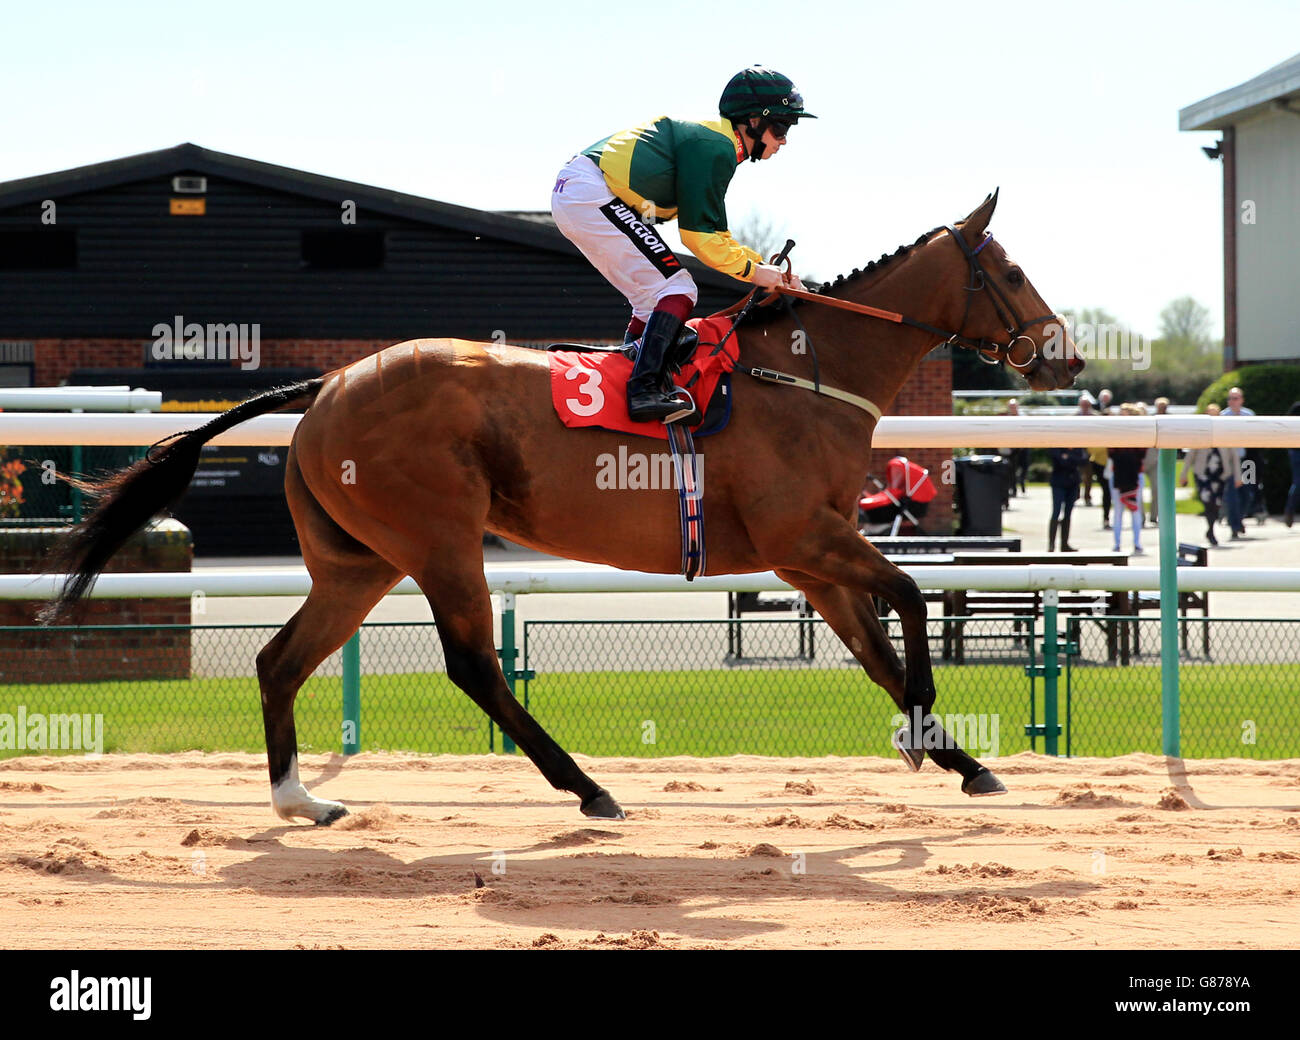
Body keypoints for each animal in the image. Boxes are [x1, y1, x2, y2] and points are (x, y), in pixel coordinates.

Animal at [42, 190, 1081, 824]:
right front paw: (921, 733)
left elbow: (876, 649)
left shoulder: (807, 558)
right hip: (440, 543)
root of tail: (326, 383)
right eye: (1012, 273)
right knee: (471, 667)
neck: (806, 376)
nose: (1064, 355)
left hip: (357, 561)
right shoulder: (808, 535)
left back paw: (300, 801)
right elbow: (906, 600)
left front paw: (957, 757)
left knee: (279, 660)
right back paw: (587, 788)